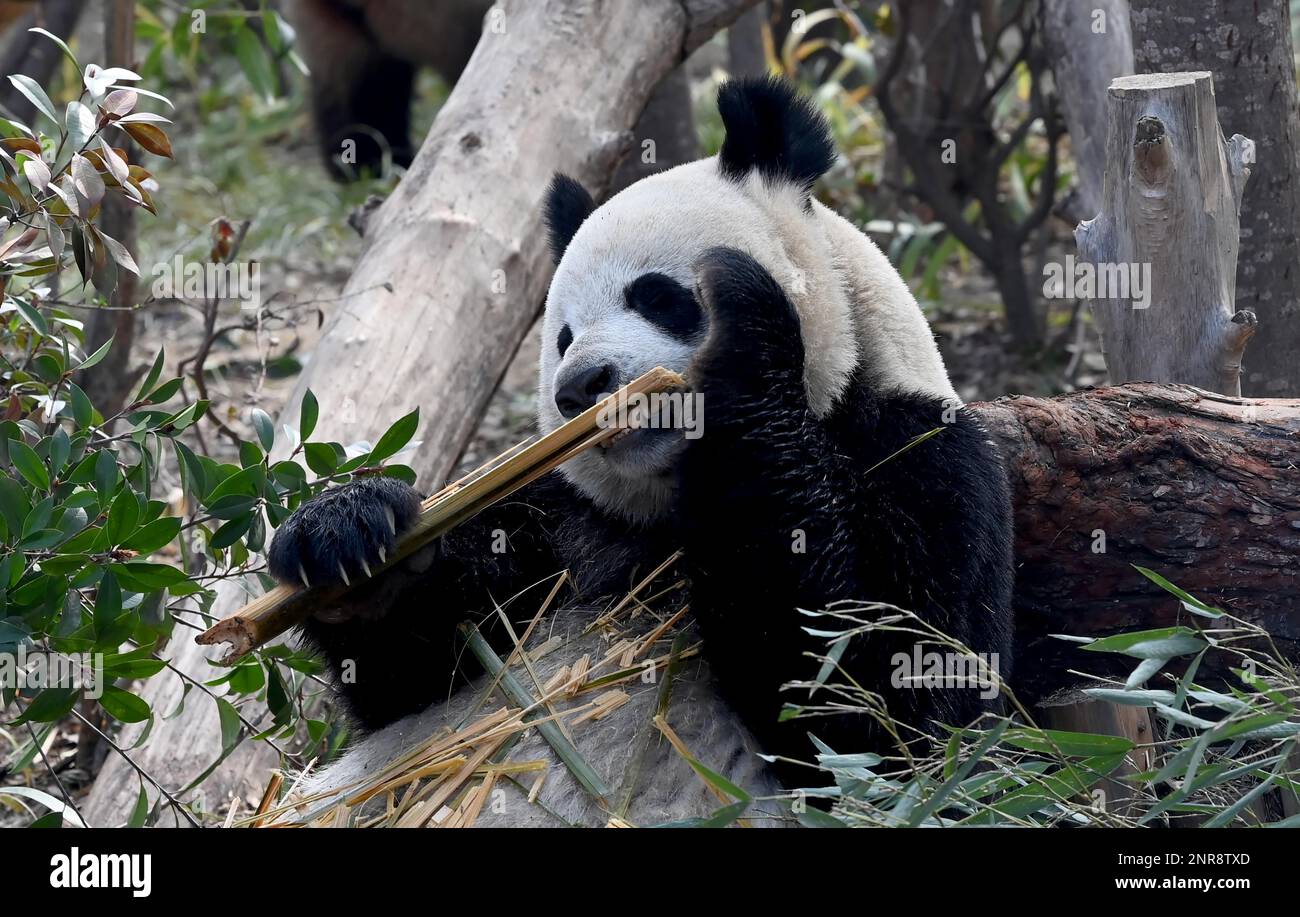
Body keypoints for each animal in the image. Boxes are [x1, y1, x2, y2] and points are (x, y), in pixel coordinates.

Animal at [268, 76, 1015, 819]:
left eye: (656, 295)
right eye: (563, 336)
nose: (581, 385)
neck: (670, 501)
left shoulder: (929, 464)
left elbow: (881, 712)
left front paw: (744, 315)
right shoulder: (563, 520)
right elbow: (415, 675)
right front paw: (348, 539)